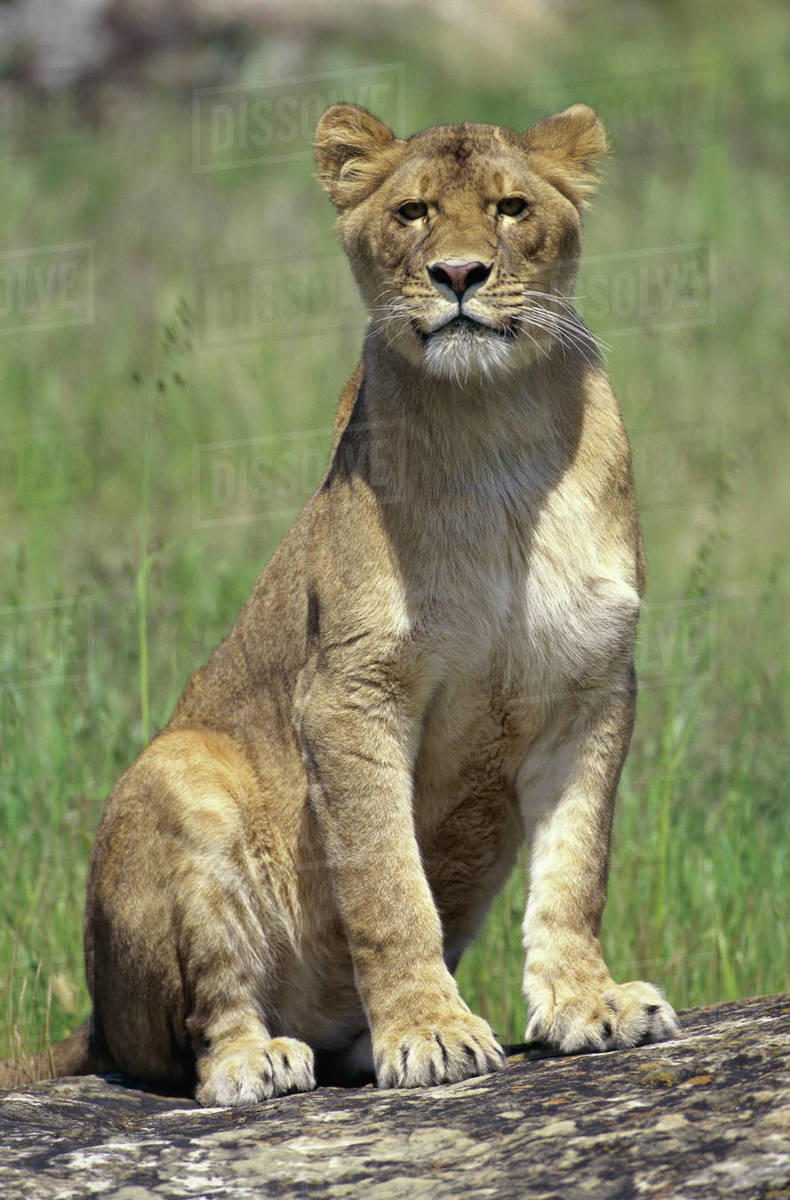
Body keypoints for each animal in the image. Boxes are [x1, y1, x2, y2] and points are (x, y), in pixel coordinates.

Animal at [1, 102, 679, 1104]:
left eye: (511, 208)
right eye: (413, 214)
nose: (459, 274)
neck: (494, 429)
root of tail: (93, 1018)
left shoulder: (589, 683)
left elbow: (576, 865)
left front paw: (590, 1003)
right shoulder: (349, 690)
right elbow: (386, 882)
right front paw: (432, 1033)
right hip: (176, 777)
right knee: (199, 1034)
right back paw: (260, 1061)